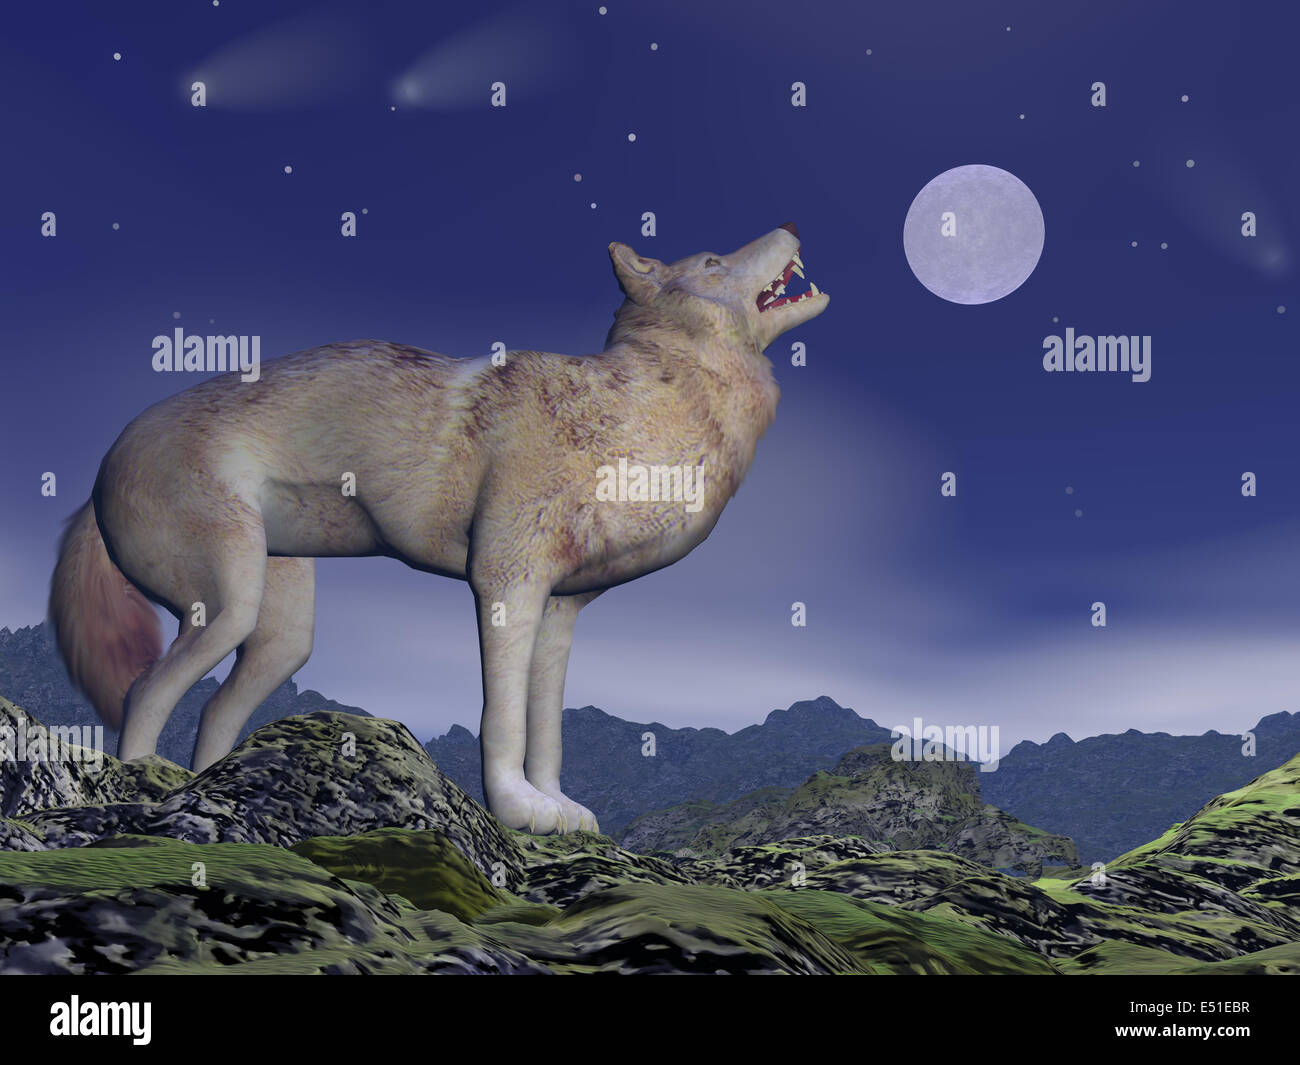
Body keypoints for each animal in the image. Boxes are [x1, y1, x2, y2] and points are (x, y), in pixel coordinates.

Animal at [48, 222, 828, 833]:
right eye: (713, 262)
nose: (792, 222)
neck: (644, 409)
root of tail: (98, 470)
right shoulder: (505, 583)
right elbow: (503, 720)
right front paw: (516, 809)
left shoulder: (561, 610)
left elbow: (547, 729)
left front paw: (556, 807)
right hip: (225, 608)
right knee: (145, 692)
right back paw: (144, 789)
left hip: (282, 639)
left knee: (214, 711)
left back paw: (214, 790)